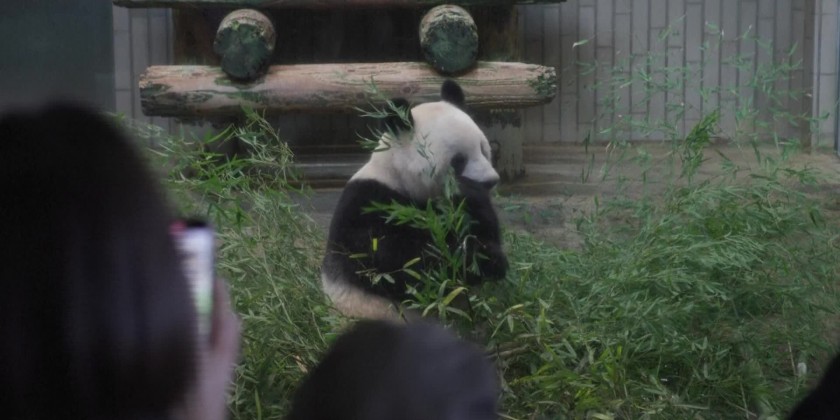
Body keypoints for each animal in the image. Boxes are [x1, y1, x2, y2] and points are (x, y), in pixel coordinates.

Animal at [321, 80, 508, 320]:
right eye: (458, 160)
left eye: (484, 149)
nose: (490, 181)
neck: (398, 177)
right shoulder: (367, 206)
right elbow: (406, 263)